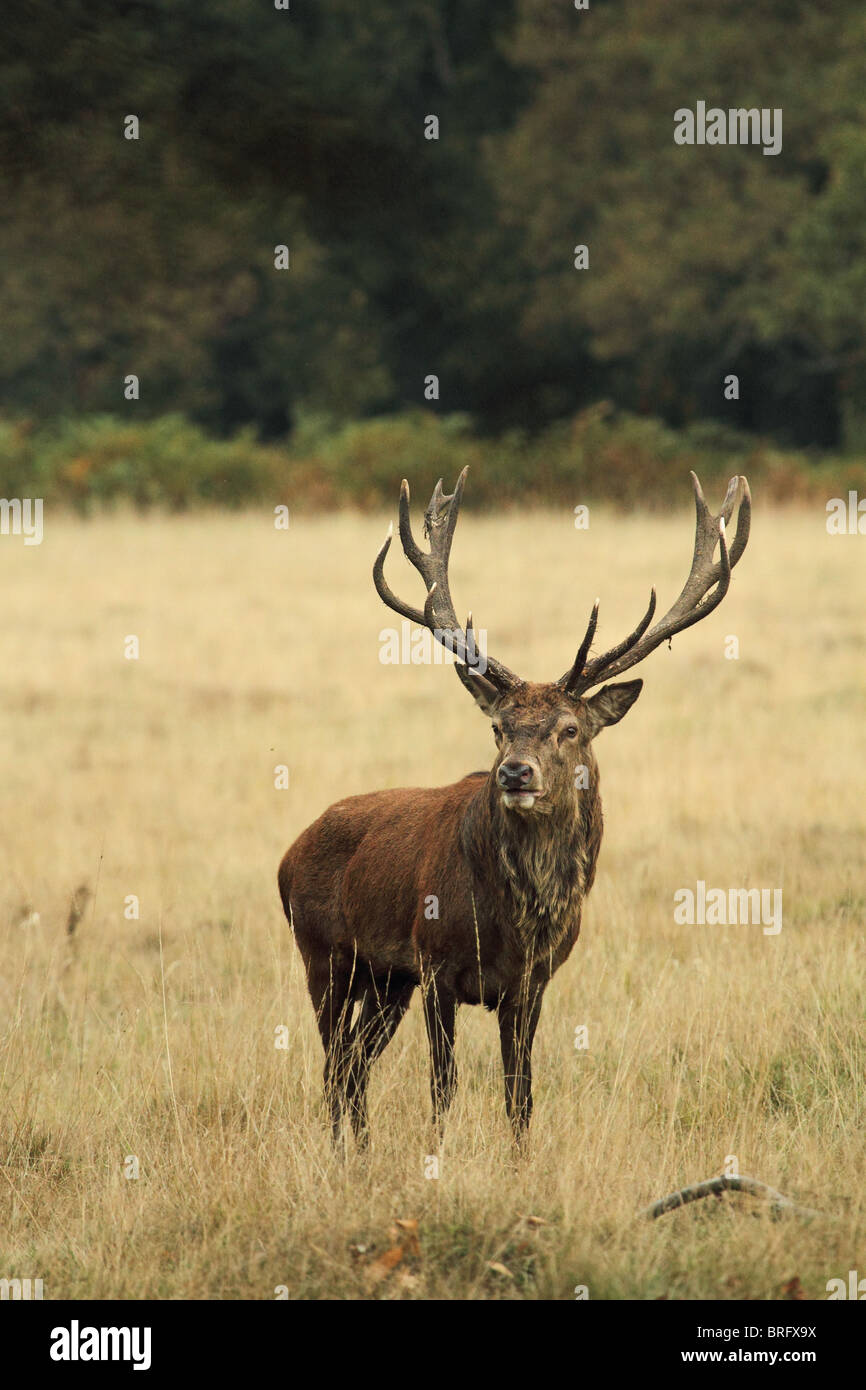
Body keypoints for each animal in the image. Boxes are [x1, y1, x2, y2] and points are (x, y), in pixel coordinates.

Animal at [278, 469, 750, 1149]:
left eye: (570, 729)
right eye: (499, 727)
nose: (514, 772)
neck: (517, 919)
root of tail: (286, 858)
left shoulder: (534, 981)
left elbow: (520, 1095)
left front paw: (519, 1159)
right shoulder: (435, 963)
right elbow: (443, 1087)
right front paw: (439, 1155)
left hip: (386, 980)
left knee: (354, 1064)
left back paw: (358, 1153)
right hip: (324, 954)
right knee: (335, 1063)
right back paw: (343, 1151)